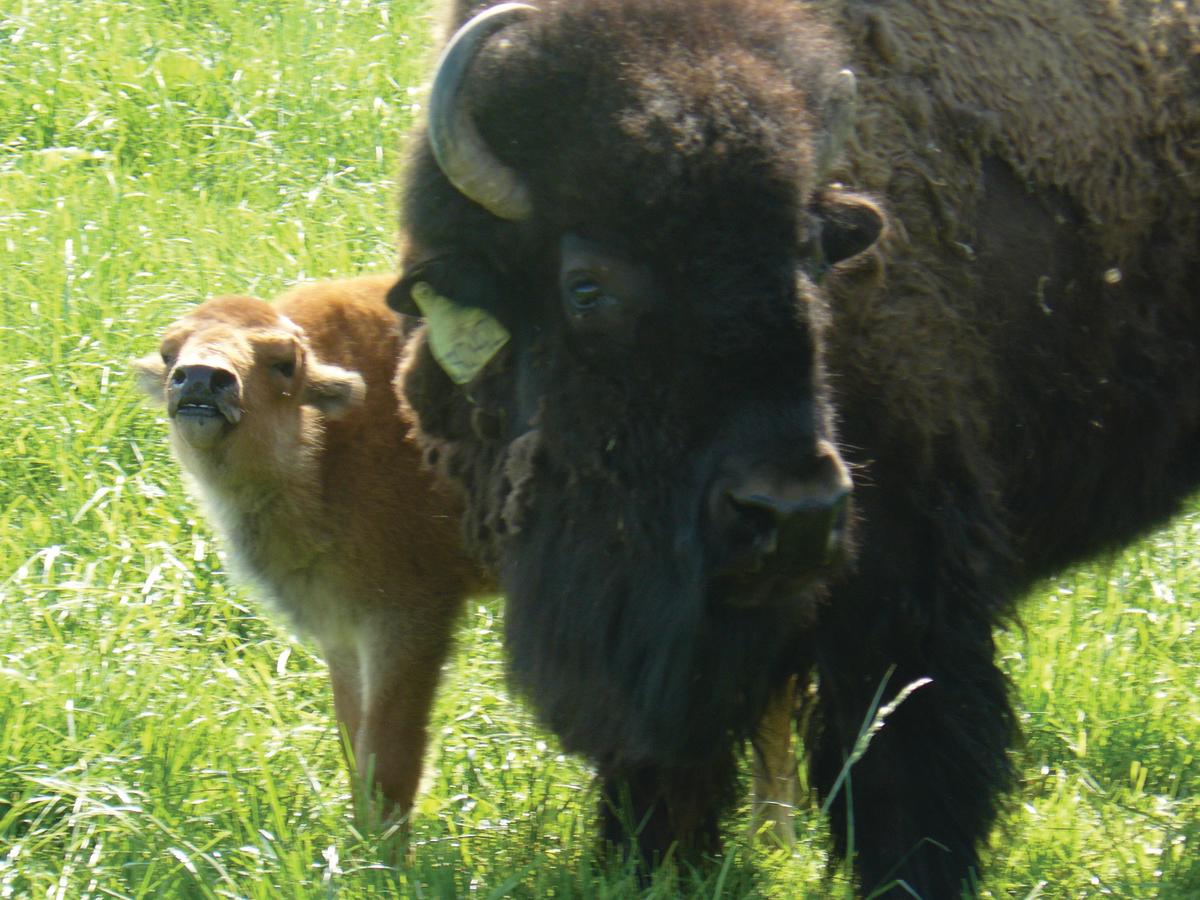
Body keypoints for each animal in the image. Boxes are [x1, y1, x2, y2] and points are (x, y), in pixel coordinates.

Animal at [389, 0, 1200, 895]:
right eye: (587, 286)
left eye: (811, 260)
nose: (796, 516)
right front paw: (649, 861)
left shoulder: (909, 583)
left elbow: (906, 754)